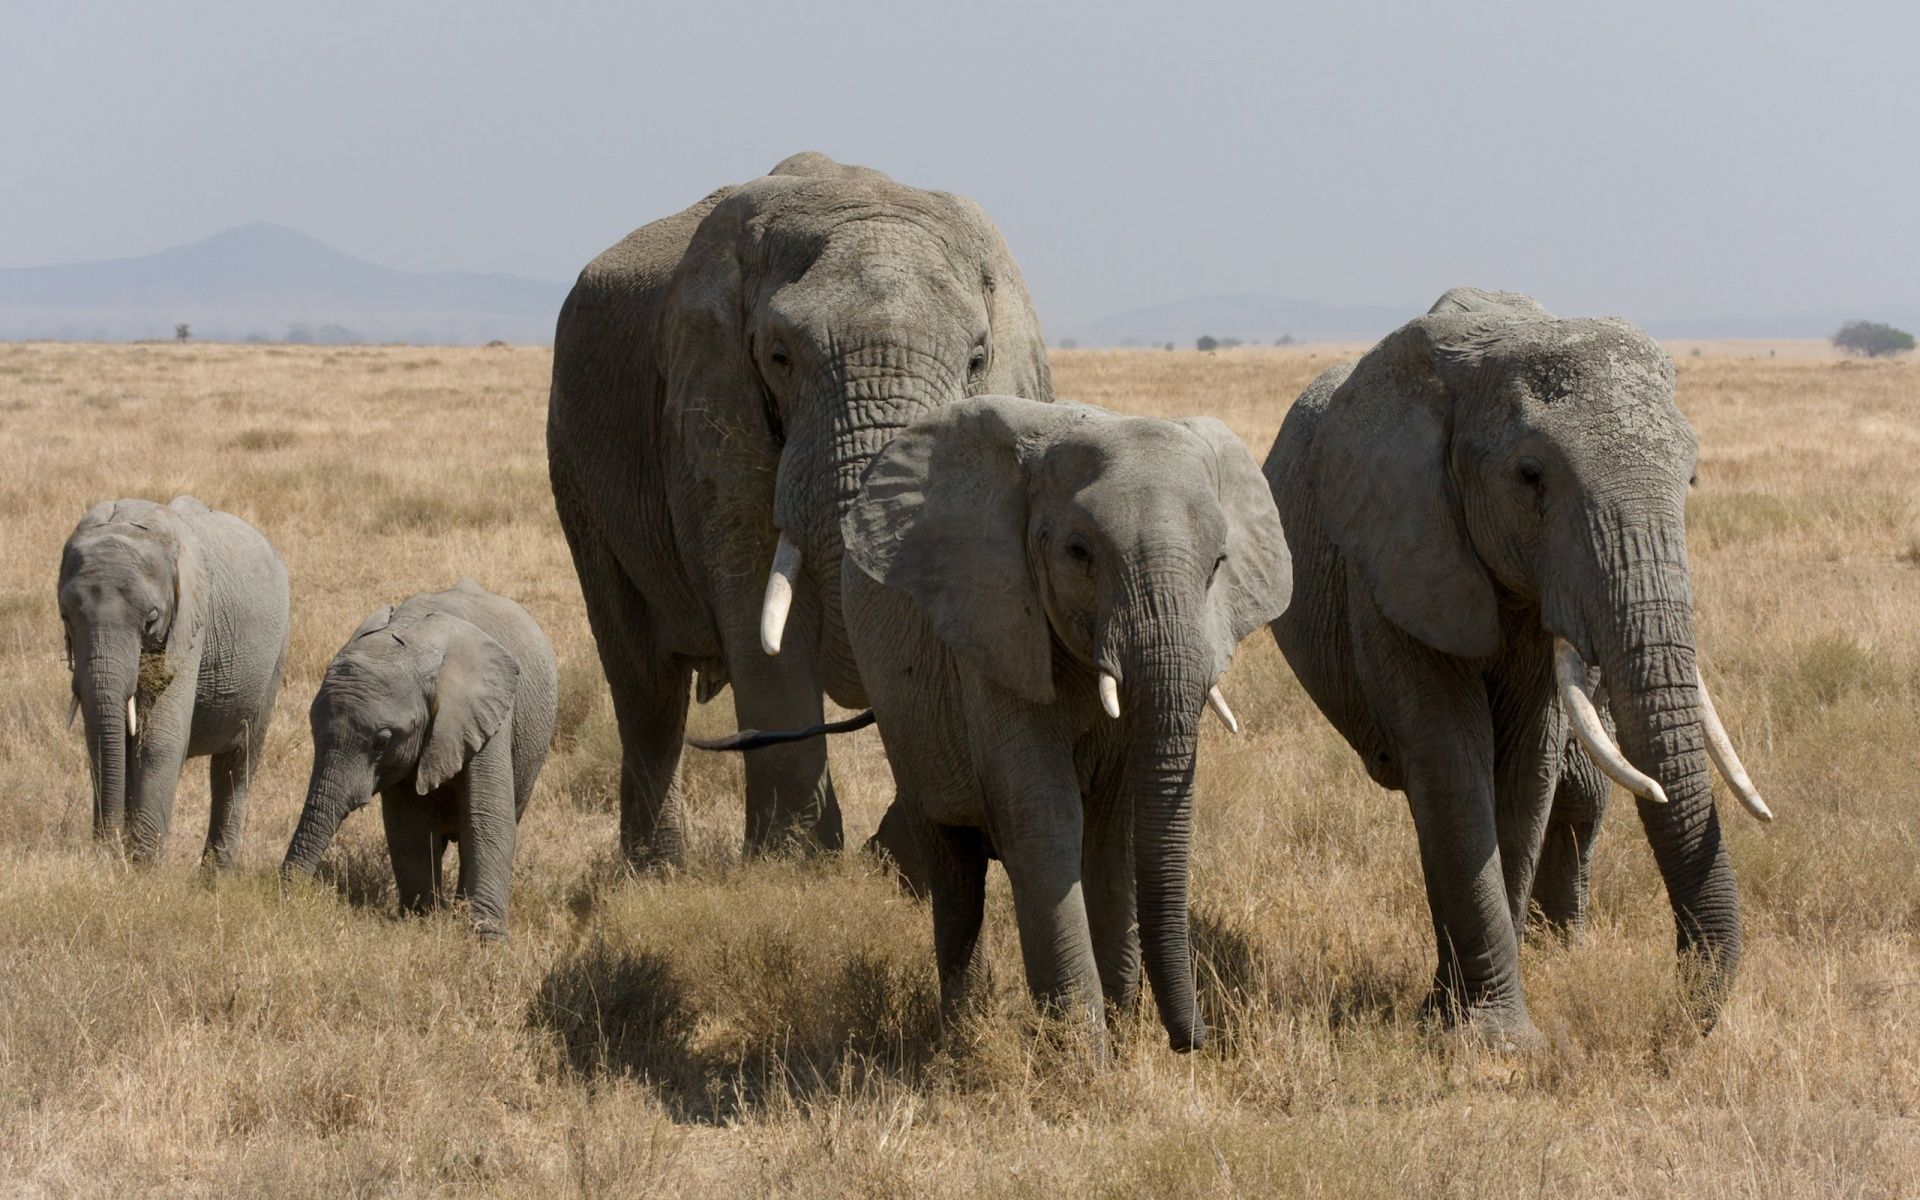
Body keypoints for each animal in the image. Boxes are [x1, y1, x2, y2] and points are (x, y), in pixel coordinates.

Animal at [57, 496, 289, 867]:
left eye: (152, 619)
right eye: (66, 616)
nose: (108, 849)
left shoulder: (192, 620)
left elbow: (161, 739)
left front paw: (142, 866)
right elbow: (109, 739)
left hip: (274, 659)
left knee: (235, 768)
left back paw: (216, 876)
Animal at [281, 580, 558, 939]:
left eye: (382, 741)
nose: (288, 894)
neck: (411, 636)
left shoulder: (488, 715)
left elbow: (487, 819)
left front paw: (485, 942)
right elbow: (409, 825)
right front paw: (423, 922)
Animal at [547, 151, 1052, 869]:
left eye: (978, 359)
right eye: (779, 357)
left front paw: (898, 860)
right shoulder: (711, 408)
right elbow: (757, 609)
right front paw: (794, 864)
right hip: (576, 461)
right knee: (645, 682)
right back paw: (657, 871)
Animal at [706, 396, 1291, 1055]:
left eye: (1218, 564)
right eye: (1079, 553)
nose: (1200, 1040)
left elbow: (1111, 832)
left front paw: (1119, 1035)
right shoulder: (993, 628)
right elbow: (1044, 815)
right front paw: (1083, 1058)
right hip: (903, 713)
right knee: (954, 870)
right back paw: (962, 1035)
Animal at [1263, 287, 1771, 1045]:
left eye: (1692, 477)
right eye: (1529, 477)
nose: (1683, 1018)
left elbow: (1526, 766)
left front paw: (1467, 1022)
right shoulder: (1394, 556)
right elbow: (1451, 759)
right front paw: (1485, 1039)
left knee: (1582, 786)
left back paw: (1556, 945)